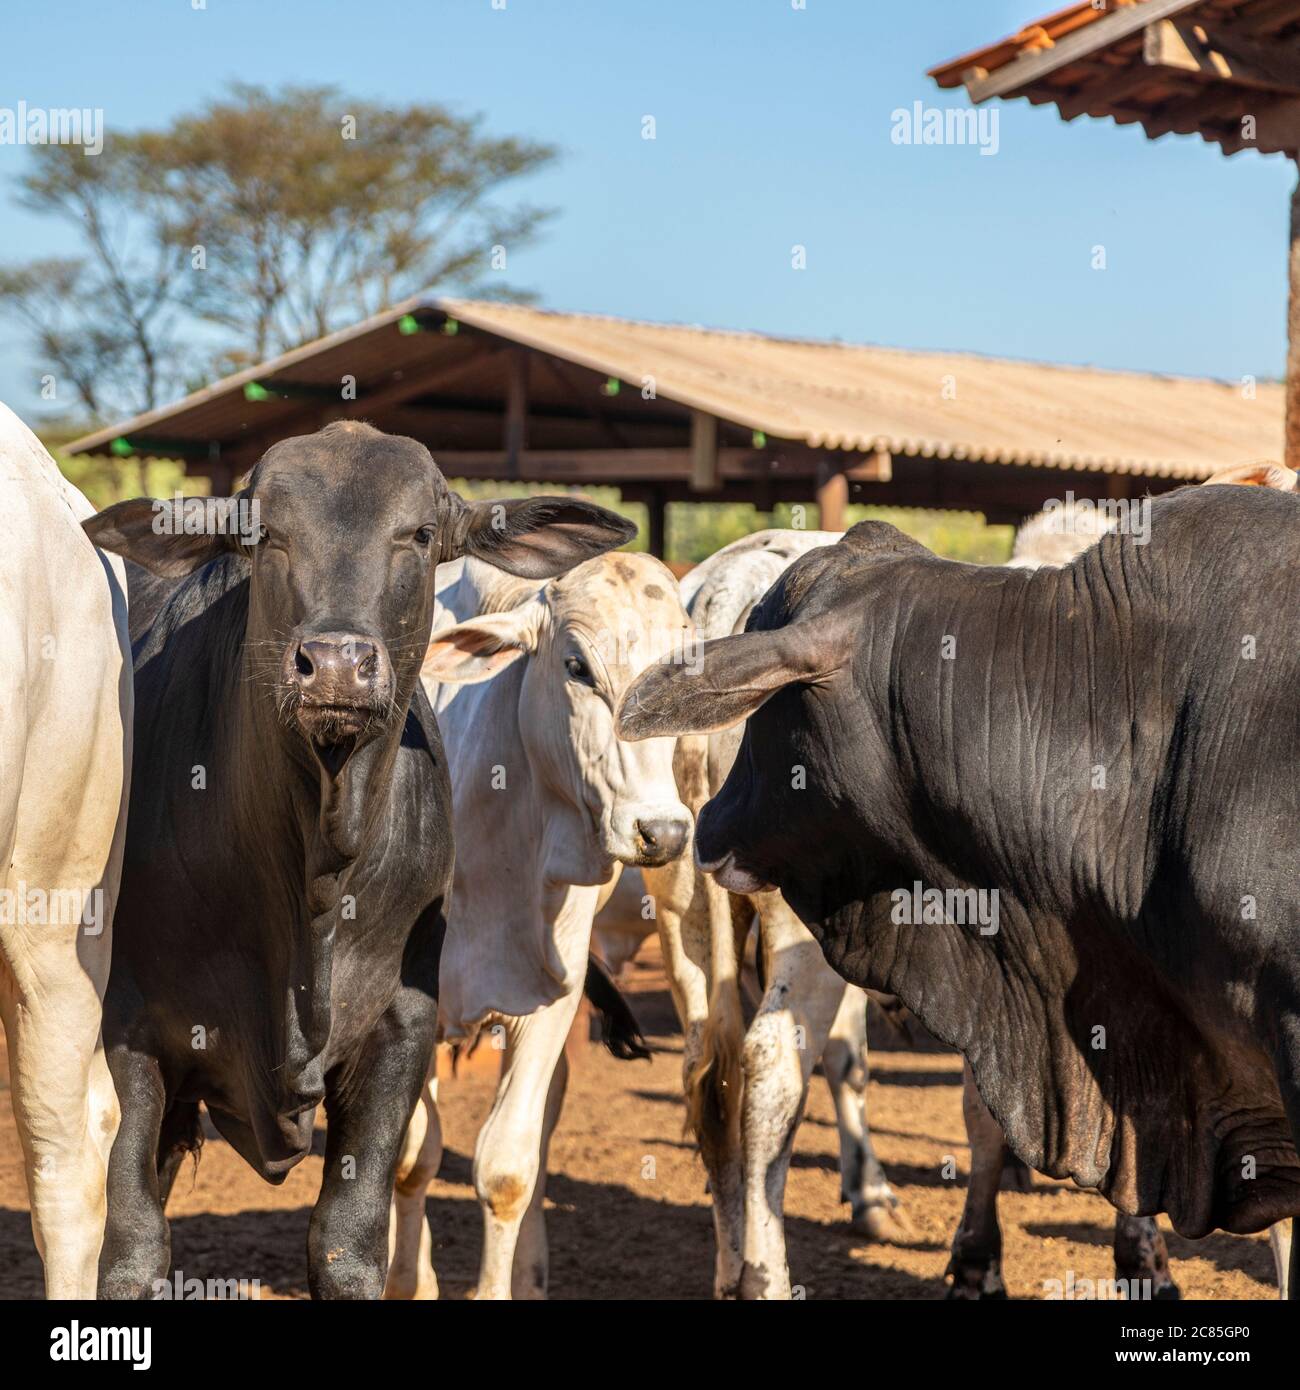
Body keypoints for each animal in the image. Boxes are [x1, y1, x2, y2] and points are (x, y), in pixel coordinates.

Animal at [81, 420, 633, 1299]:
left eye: (419, 534)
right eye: (264, 533)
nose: (336, 663)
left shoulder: (401, 1027)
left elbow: (347, 1241)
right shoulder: (133, 1031)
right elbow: (130, 1241)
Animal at [384, 549, 693, 1300]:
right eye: (577, 666)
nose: (664, 831)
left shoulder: (552, 999)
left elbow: (508, 1168)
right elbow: (411, 1155)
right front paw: (409, 1279)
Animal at [617, 481, 1300, 1300]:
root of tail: (718, 584)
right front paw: (1124, 1257)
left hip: (690, 917)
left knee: (720, 1072)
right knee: (773, 1064)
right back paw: (775, 1266)